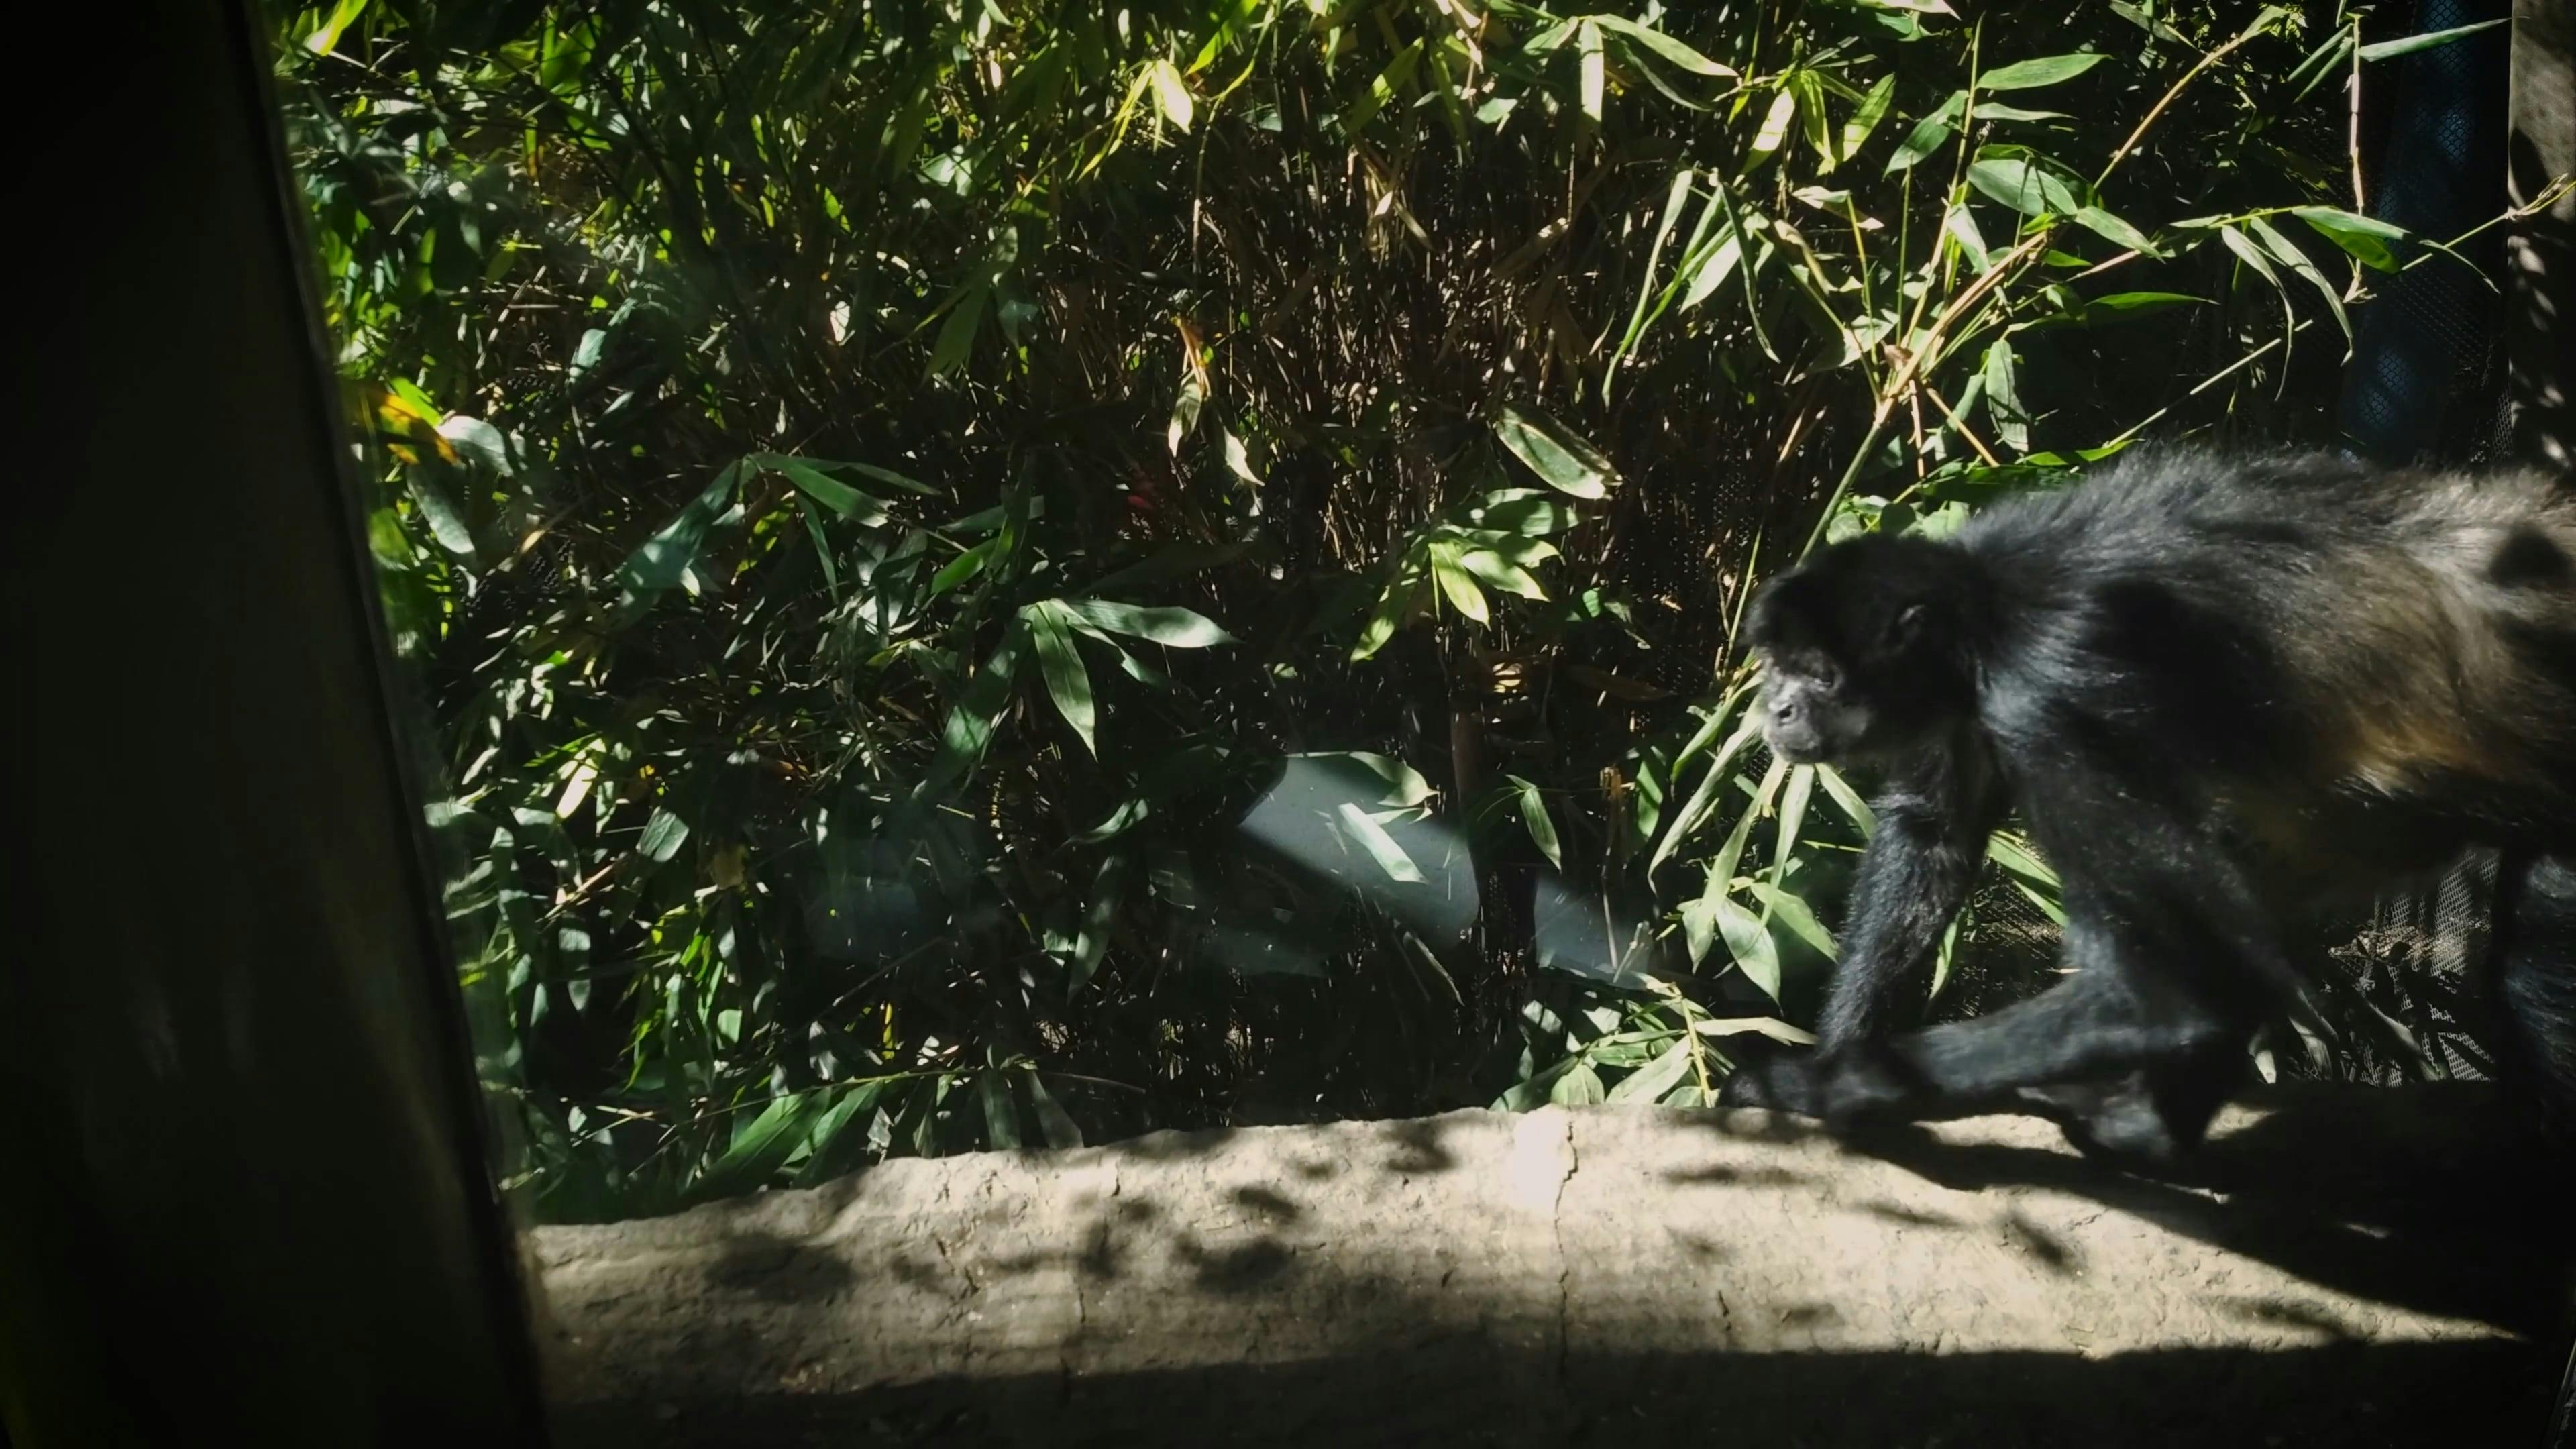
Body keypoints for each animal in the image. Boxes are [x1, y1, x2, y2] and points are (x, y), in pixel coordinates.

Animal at [1714, 446, 2576, 1164]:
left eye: (1820, 674)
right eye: (1777, 664)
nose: (1776, 708)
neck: (1992, 602)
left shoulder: (2050, 690)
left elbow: (2173, 990)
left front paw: (1817, 1083)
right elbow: (1933, 838)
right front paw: (1835, 1059)